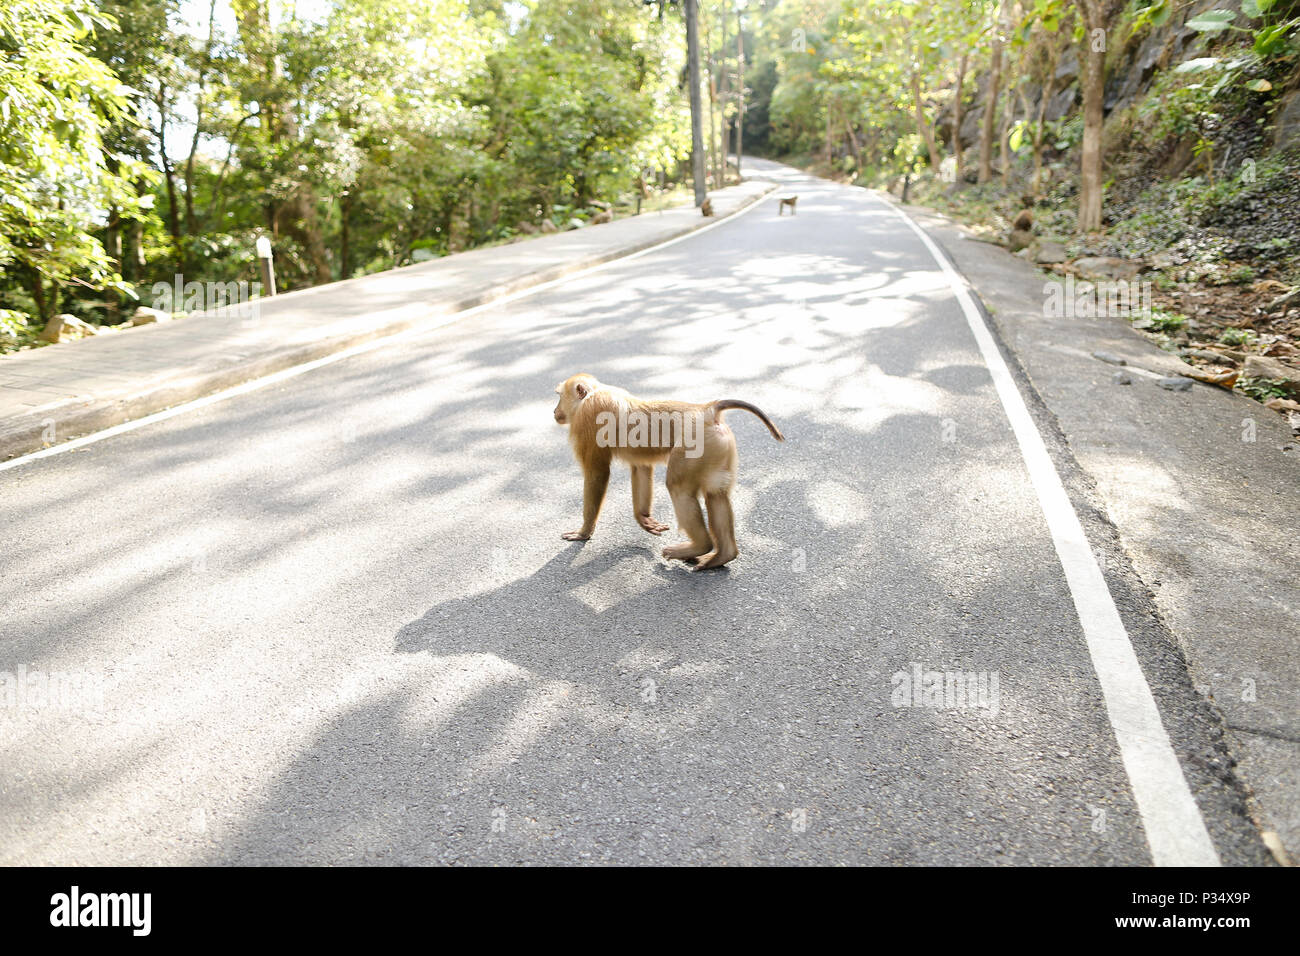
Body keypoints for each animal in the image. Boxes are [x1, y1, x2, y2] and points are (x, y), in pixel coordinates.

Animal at [552, 373, 784, 569]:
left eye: (559, 396)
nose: (554, 411)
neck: (593, 394)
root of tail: (707, 410)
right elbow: (641, 467)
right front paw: (643, 518)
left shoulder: (587, 419)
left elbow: (597, 472)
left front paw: (583, 532)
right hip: (718, 447)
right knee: (716, 494)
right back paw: (722, 555)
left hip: (694, 447)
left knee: (678, 488)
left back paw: (700, 546)